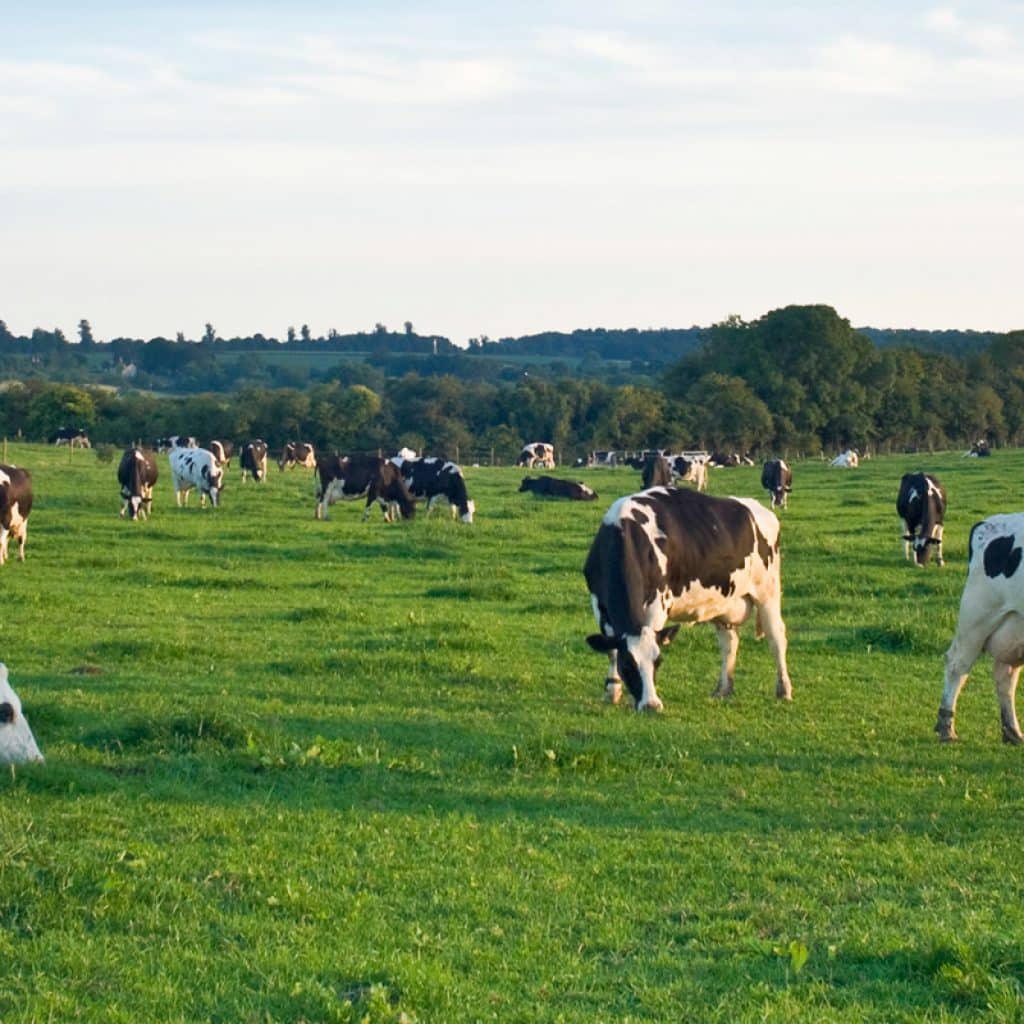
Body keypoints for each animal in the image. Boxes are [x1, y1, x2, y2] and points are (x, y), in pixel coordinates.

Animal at [584, 487, 791, 712]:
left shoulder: (658, 603)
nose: (651, 705)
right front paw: (612, 692)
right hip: (724, 603)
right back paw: (722, 690)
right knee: (729, 642)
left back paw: (784, 690)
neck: (625, 532)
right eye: (627, 665)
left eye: (658, 661)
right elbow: (611, 650)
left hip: (768, 592)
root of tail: (762, 510)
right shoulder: (599, 604)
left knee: (776, 637)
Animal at [935, 513, 1024, 744]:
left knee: (1005, 676)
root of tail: (988, 522)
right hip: (978, 616)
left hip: (1015, 629)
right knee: (957, 664)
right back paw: (946, 728)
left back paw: (1012, 732)